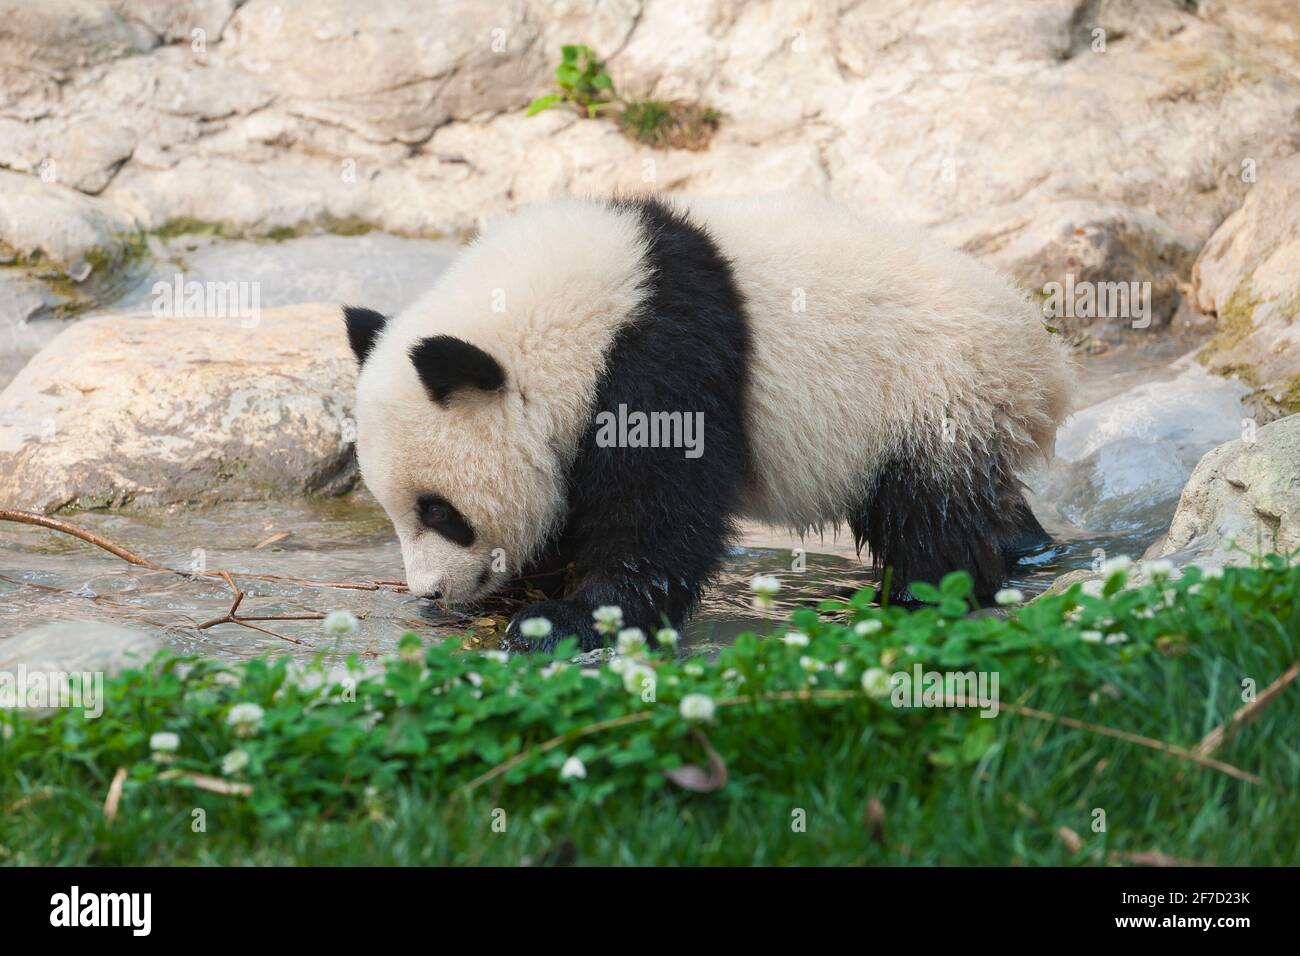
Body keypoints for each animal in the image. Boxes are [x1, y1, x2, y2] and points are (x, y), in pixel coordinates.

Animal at [344, 193, 1073, 651]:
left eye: (441, 512)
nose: (431, 593)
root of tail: (1045, 370)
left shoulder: (660, 359)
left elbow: (658, 517)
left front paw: (563, 621)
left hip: (935, 392)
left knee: (930, 520)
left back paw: (923, 597)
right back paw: (1032, 551)